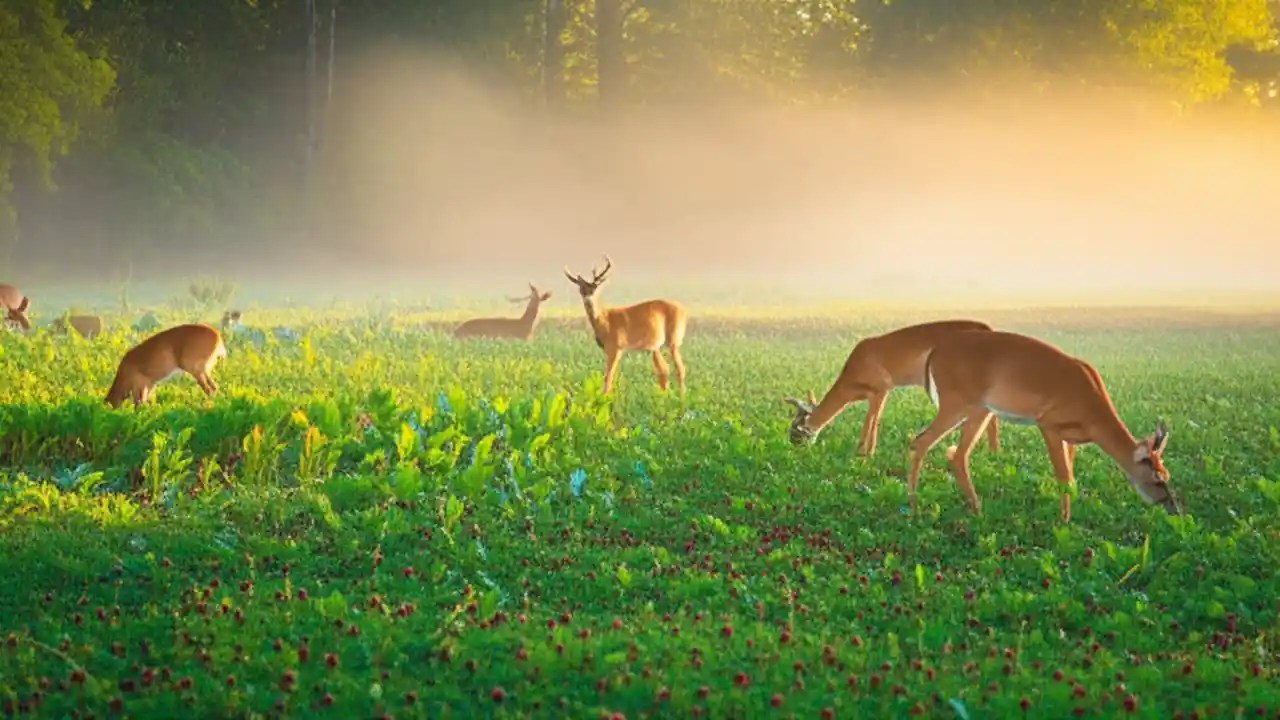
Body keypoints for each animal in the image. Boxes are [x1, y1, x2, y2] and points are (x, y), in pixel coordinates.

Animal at [563, 255, 687, 395]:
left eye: (594, 288)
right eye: (581, 290)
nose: (588, 299)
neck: (604, 320)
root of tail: (684, 311)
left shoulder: (615, 347)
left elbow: (608, 376)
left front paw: (605, 397)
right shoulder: (610, 349)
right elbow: (612, 376)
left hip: (673, 339)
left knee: (680, 368)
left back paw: (681, 396)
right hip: (656, 346)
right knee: (664, 370)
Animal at [784, 320, 1000, 456]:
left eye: (795, 431)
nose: (794, 447)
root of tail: (987, 328)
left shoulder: (882, 390)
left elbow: (872, 419)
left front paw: (864, 453)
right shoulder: (875, 394)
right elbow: (873, 418)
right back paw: (992, 452)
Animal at [907, 329, 1179, 522]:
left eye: (1166, 474)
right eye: (1156, 479)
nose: (1174, 508)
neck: (1092, 407)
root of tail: (935, 353)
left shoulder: (1071, 438)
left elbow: (1072, 477)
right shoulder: (1047, 424)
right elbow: (1064, 478)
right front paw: (1064, 522)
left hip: (980, 410)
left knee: (955, 454)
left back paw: (974, 511)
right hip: (958, 406)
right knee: (922, 442)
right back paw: (914, 509)